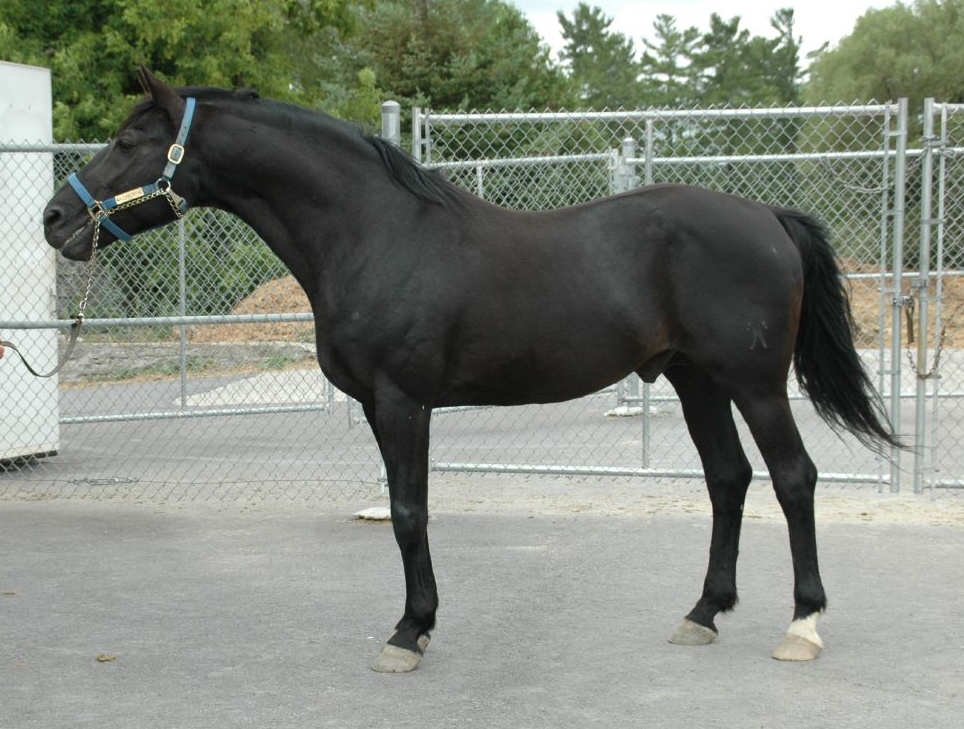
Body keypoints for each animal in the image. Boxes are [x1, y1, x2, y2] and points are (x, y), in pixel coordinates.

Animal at [43, 68, 900, 673]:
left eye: (129, 140)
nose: (56, 218)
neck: (374, 232)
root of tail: (767, 217)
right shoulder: (382, 406)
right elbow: (405, 509)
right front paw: (415, 624)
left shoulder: (401, 402)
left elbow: (408, 513)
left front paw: (408, 631)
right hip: (697, 380)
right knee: (729, 479)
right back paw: (702, 613)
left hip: (754, 383)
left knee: (793, 478)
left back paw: (803, 624)